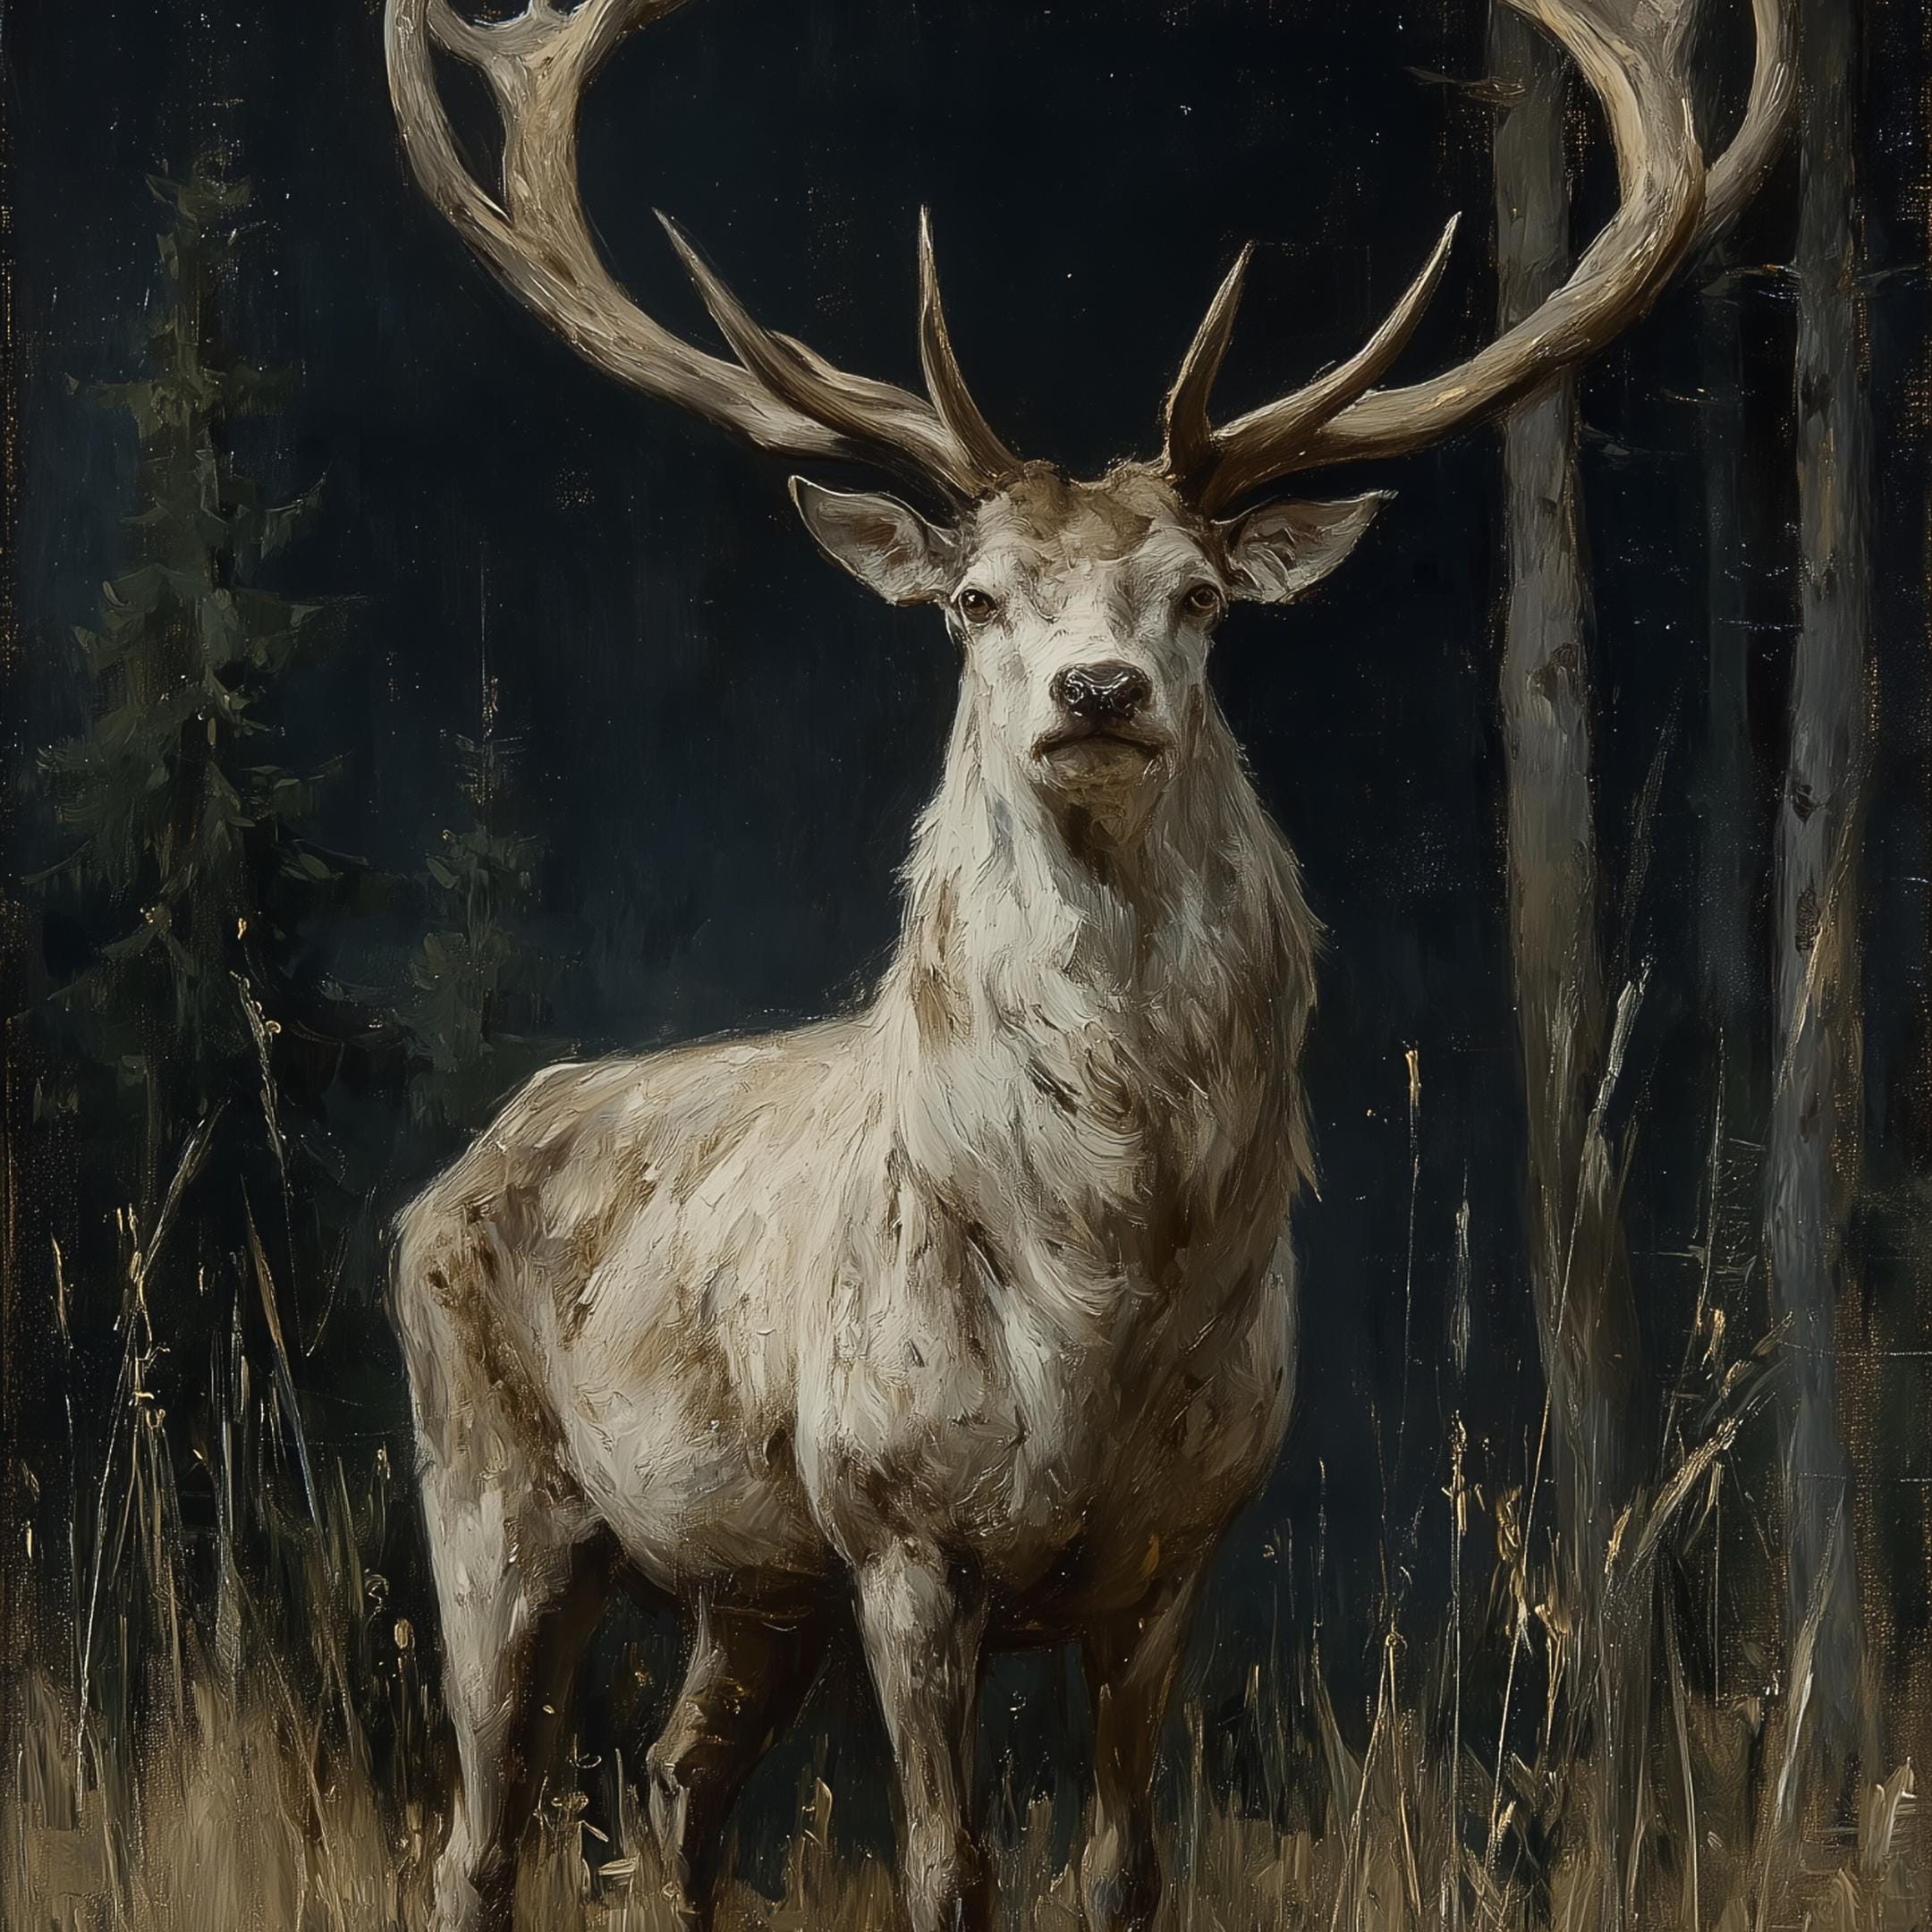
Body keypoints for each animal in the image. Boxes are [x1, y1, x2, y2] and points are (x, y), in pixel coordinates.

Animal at [382, 1, 1787, 1927]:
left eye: (1199, 594)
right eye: (977, 598)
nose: (1098, 691)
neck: (1100, 1298)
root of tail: (455, 1167)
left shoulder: (1175, 1556)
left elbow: (1126, 1868)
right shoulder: (900, 1528)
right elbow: (949, 1874)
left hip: (751, 1583)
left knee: (671, 1792)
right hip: (496, 1495)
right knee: (482, 1829)